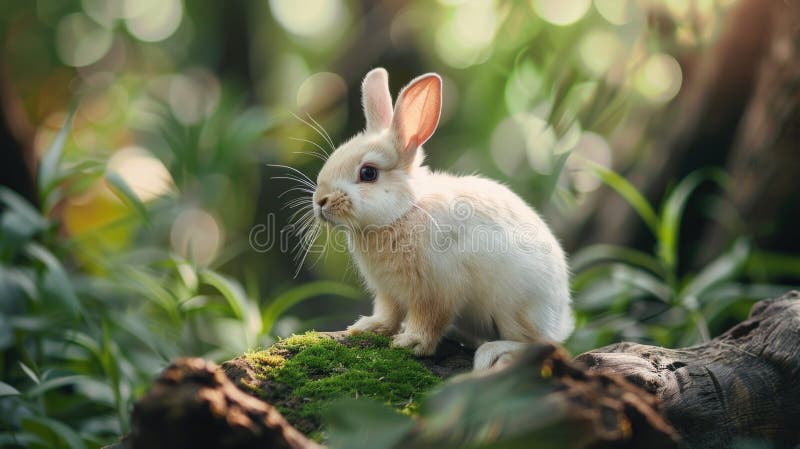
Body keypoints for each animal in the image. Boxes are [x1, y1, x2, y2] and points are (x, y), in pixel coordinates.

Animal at [311, 68, 574, 370]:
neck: (404, 212)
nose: (320, 201)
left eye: (368, 173)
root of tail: (561, 319)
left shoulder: (437, 289)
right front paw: (368, 327)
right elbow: (388, 314)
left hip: (517, 307)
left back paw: (493, 352)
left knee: (540, 343)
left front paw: (411, 343)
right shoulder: (389, 292)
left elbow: (429, 319)